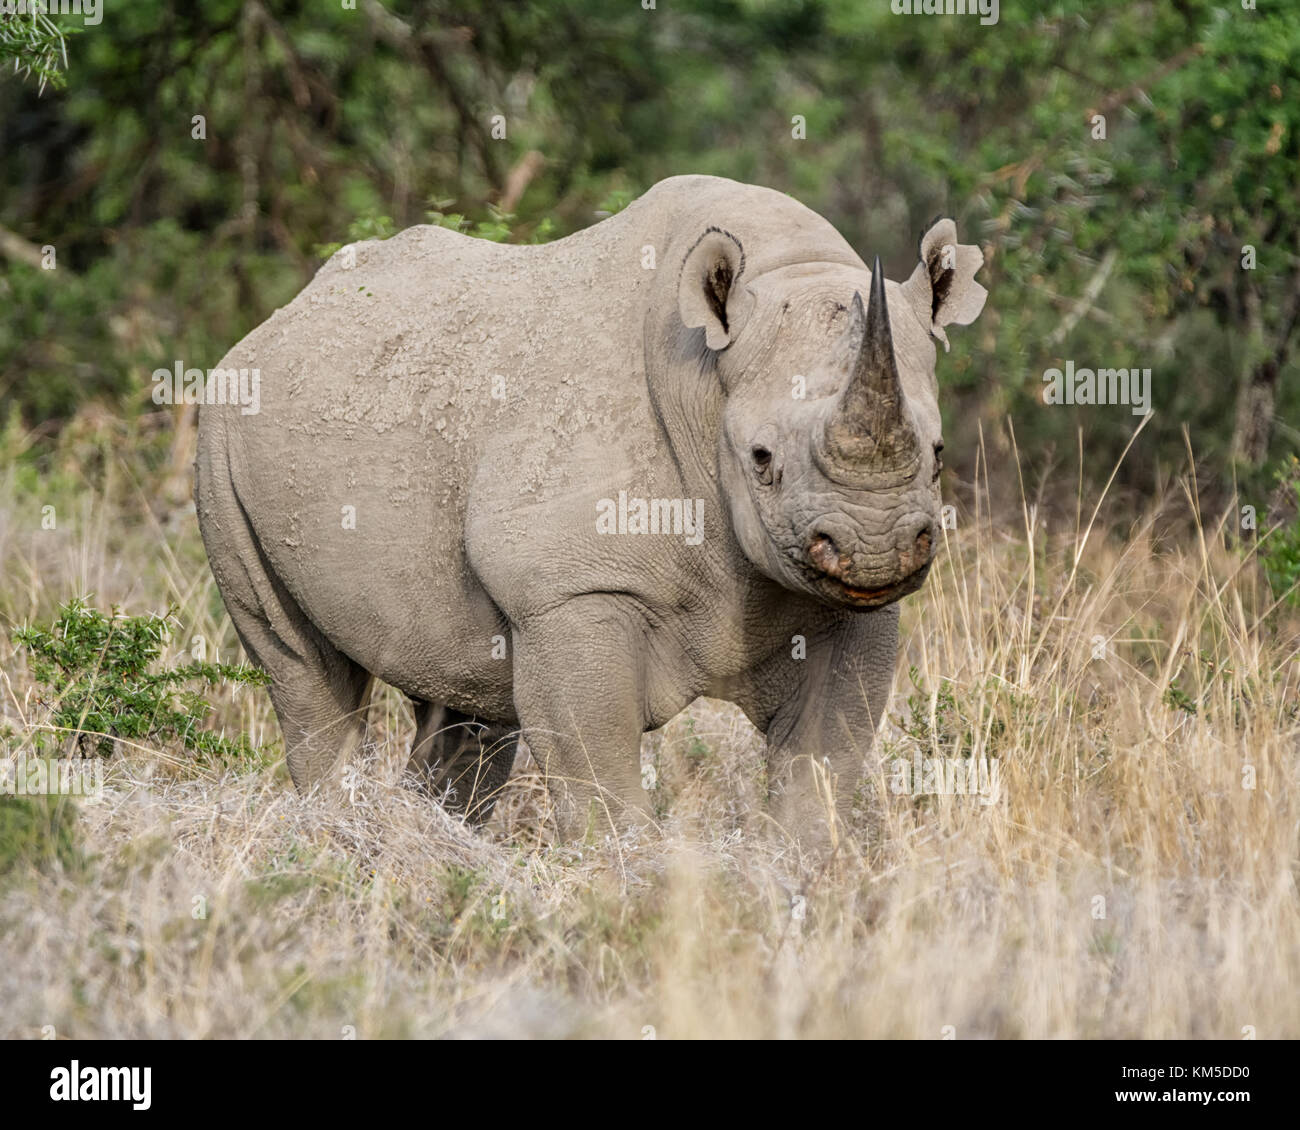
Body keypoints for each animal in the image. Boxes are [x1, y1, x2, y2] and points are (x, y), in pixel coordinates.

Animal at [195, 174, 987, 843]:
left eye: (938, 452)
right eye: (762, 459)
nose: (875, 549)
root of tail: (278, 319)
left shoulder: (852, 609)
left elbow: (823, 765)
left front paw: (804, 878)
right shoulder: (568, 587)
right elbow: (597, 766)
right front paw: (626, 888)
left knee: (463, 697)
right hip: (221, 429)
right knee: (304, 673)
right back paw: (333, 829)